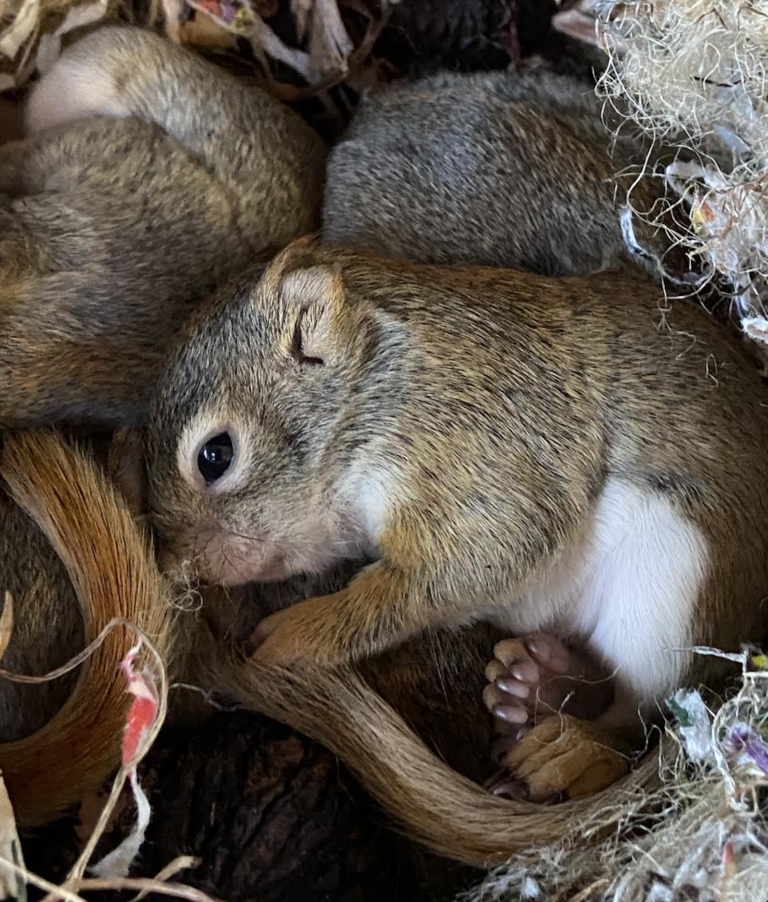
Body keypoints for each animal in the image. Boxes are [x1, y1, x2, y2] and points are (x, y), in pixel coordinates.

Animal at [142, 238, 768, 860]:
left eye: (215, 455)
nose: (176, 567)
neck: (372, 387)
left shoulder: (469, 446)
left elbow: (449, 569)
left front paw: (296, 635)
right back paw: (543, 687)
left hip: (671, 581)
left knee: (637, 719)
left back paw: (573, 745)